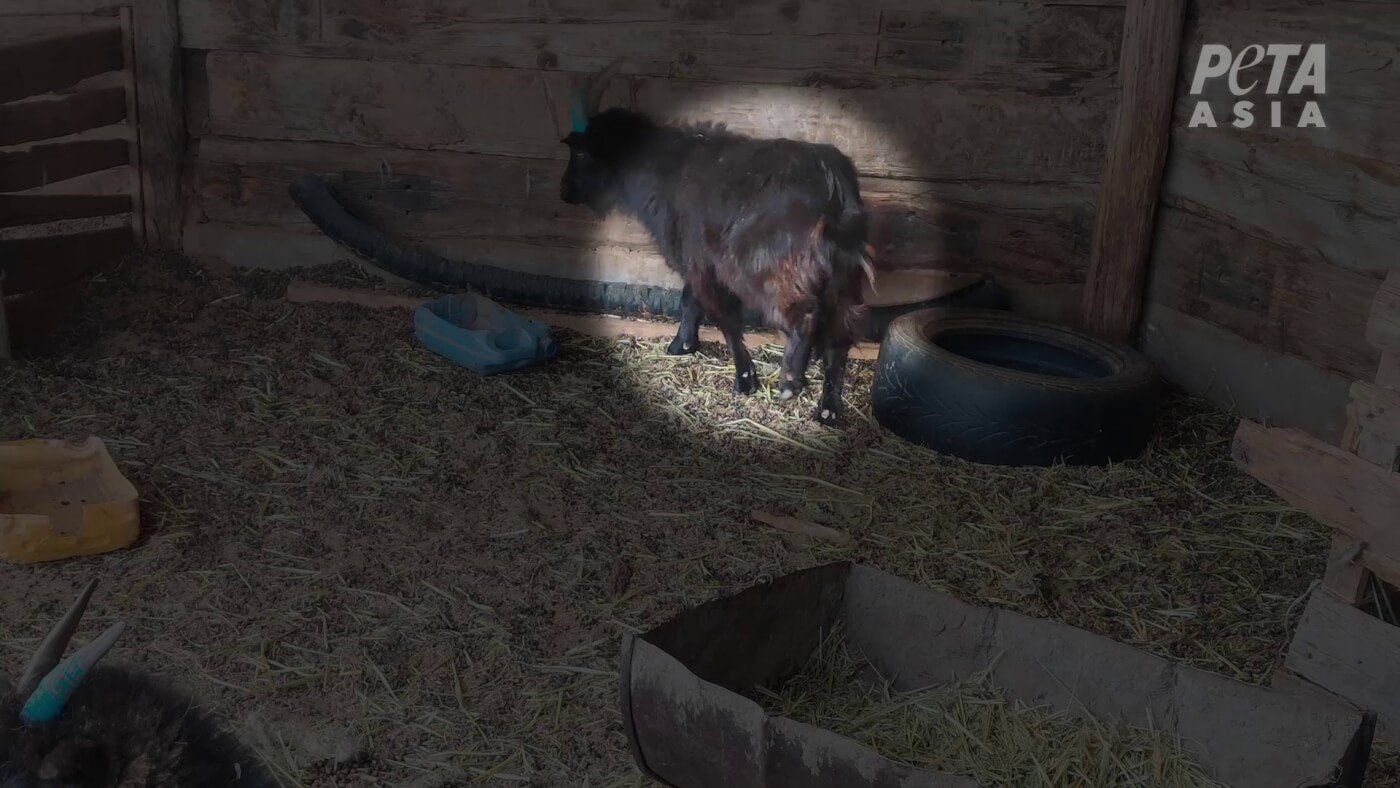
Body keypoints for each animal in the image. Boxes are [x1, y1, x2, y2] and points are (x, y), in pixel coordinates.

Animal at [559, 60, 874, 425]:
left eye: (581, 150)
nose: (564, 192)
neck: (661, 168)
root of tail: (833, 181)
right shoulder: (698, 261)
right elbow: (691, 301)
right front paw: (681, 346)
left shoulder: (702, 263)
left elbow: (721, 317)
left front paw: (743, 378)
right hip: (846, 279)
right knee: (841, 336)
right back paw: (828, 408)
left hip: (770, 270)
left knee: (805, 315)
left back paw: (790, 381)